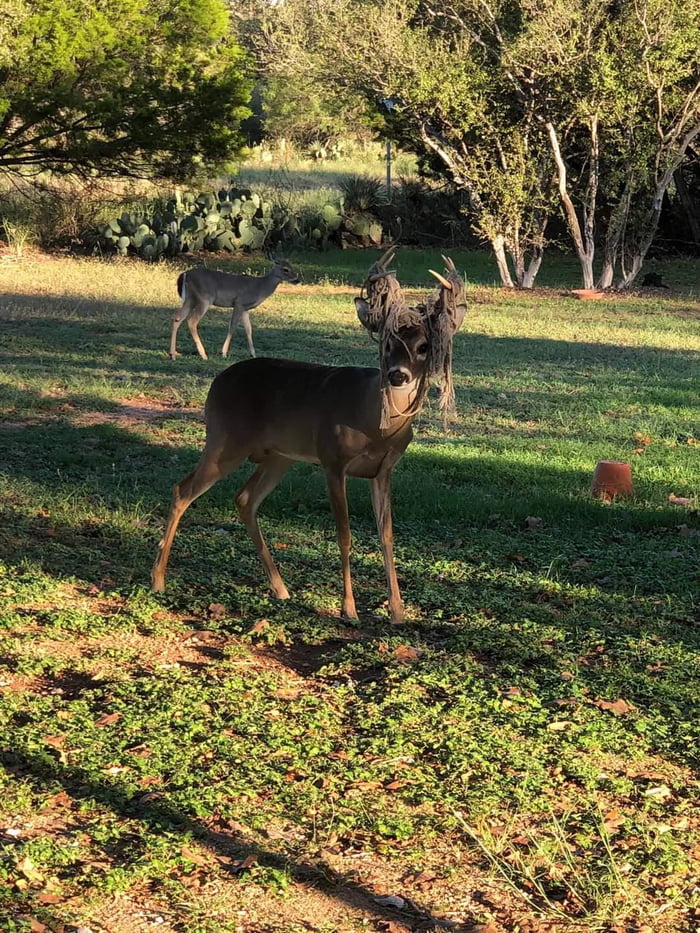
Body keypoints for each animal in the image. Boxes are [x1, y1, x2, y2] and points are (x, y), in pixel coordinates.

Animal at [169, 257, 301, 361]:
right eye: (285, 269)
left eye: (291, 266)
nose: (297, 279)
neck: (260, 288)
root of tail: (184, 275)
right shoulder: (239, 303)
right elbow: (232, 327)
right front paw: (223, 353)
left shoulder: (245, 309)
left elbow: (249, 329)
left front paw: (253, 354)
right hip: (204, 299)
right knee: (192, 321)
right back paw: (203, 355)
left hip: (190, 299)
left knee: (177, 317)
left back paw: (173, 354)